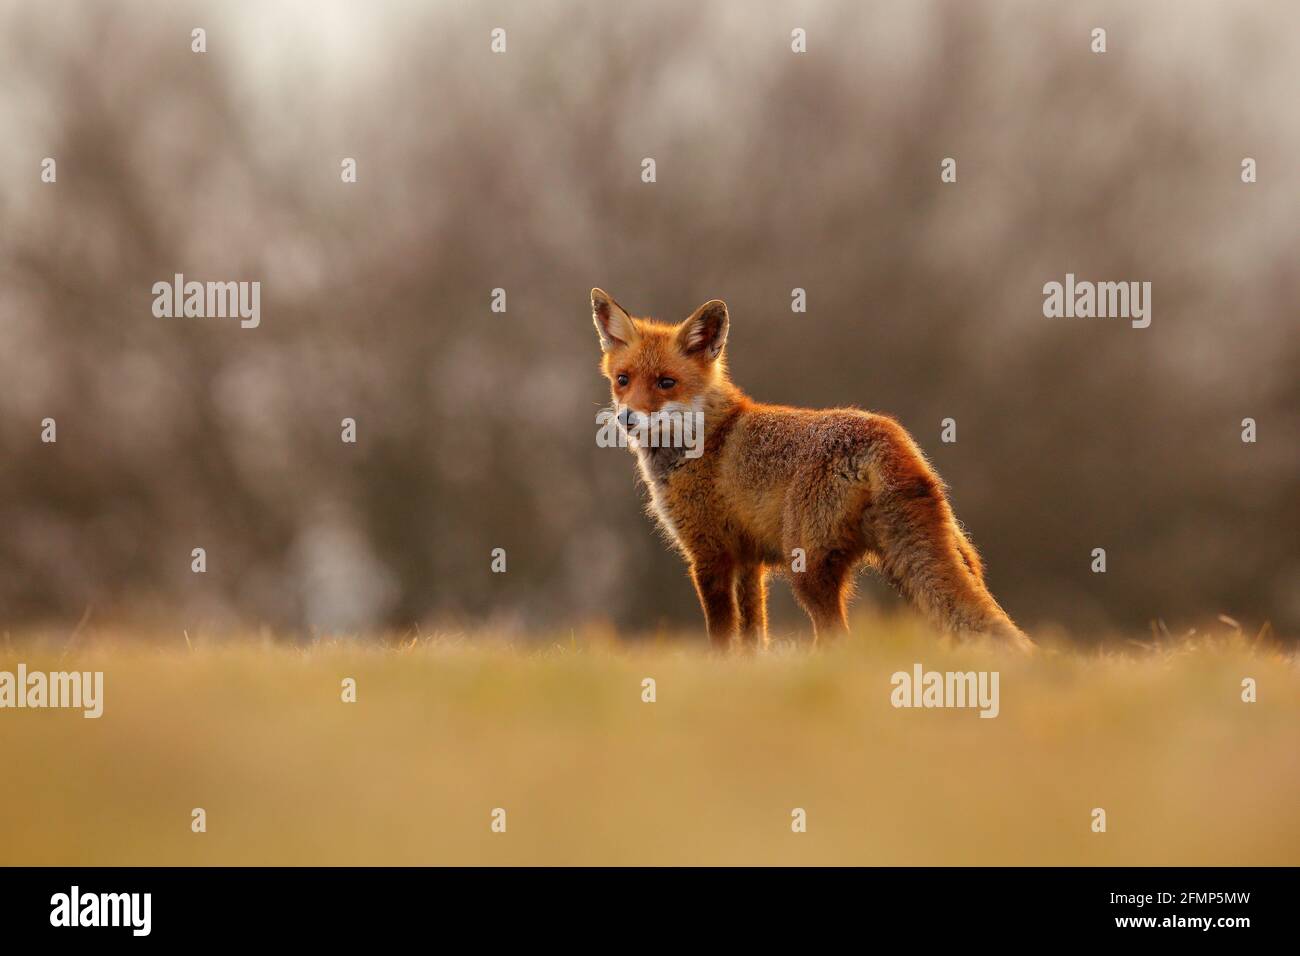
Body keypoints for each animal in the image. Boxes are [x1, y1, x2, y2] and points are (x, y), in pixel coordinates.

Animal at [592, 288, 1032, 651]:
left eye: (666, 382)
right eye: (623, 380)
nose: (627, 418)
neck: (703, 439)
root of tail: (888, 435)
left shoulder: (709, 554)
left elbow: (722, 636)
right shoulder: (748, 560)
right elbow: (753, 634)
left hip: (806, 571)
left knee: (837, 637)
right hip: (950, 556)